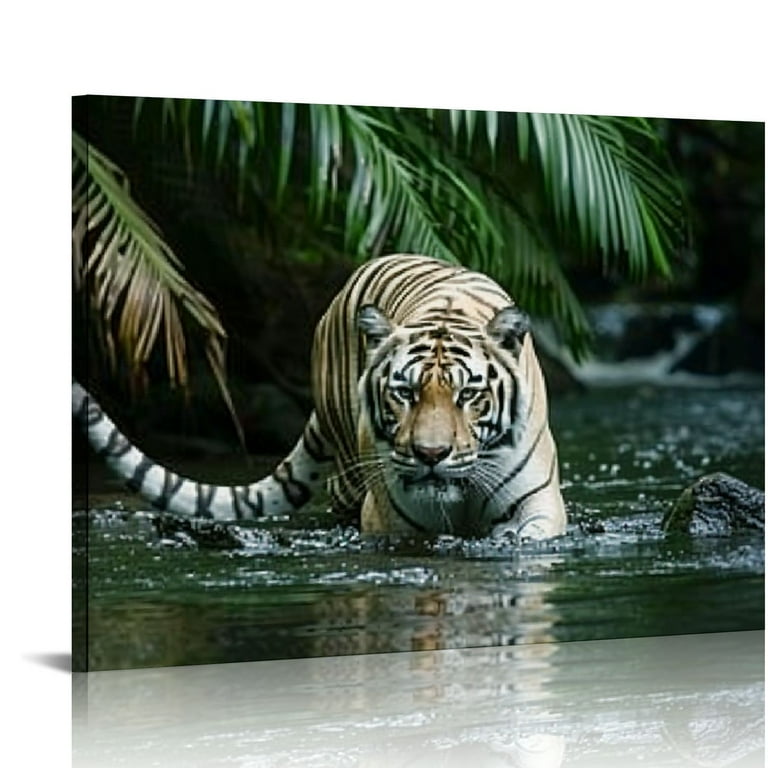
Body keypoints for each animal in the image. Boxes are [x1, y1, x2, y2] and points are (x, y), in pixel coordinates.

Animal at [74, 253, 566, 540]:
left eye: (468, 394)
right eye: (404, 393)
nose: (430, 454)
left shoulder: (539, 507)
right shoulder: (394, 523)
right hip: (350, 475)